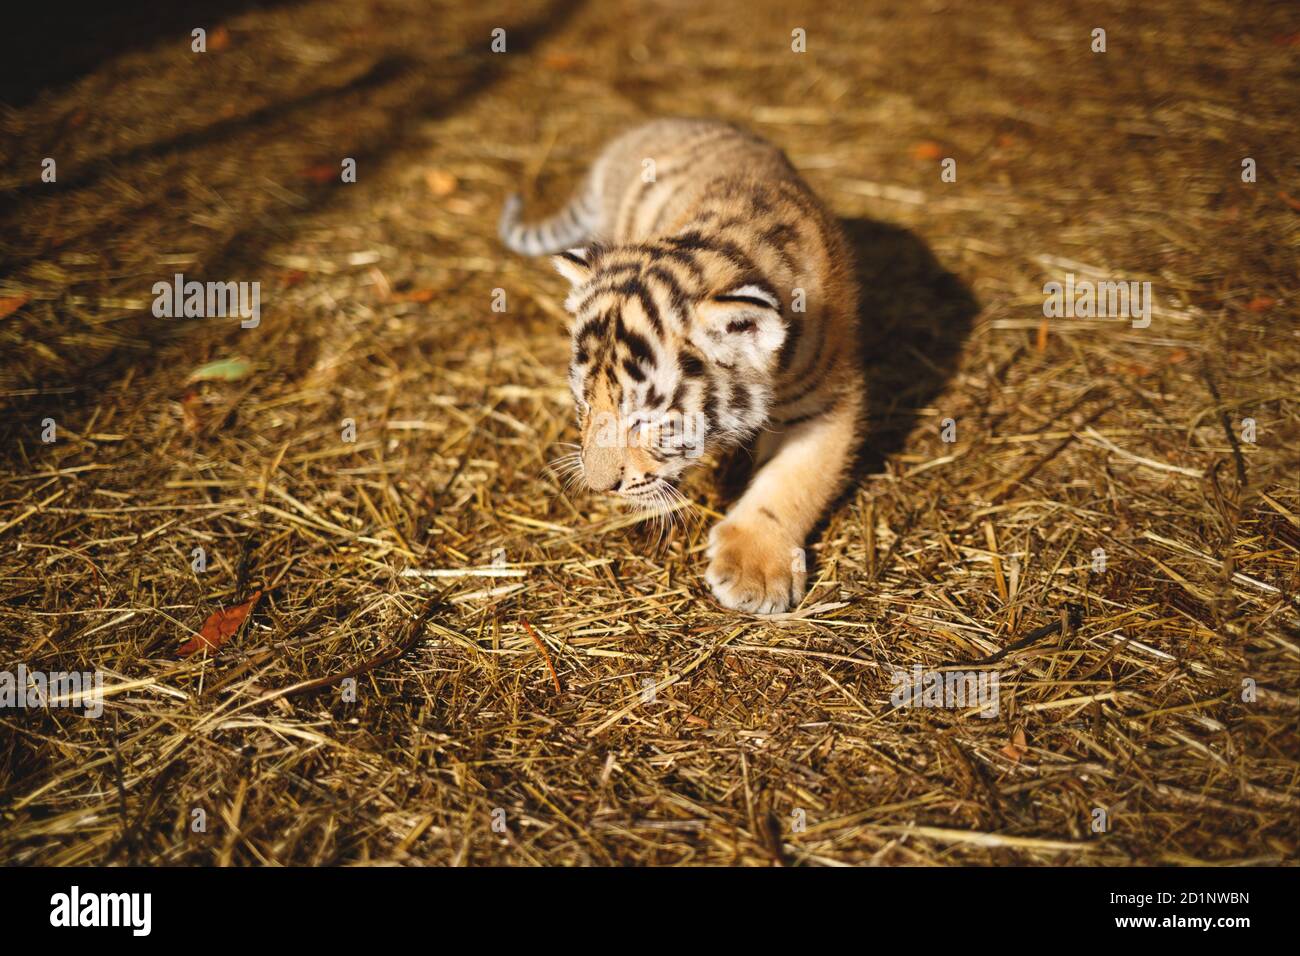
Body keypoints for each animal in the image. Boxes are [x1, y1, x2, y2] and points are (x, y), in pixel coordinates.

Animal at [500, 118, 863, 614]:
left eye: (644, 420)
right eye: (584, 403)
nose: (599, 487)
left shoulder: (826, 400)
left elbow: (794, 482)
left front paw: (754, 571)